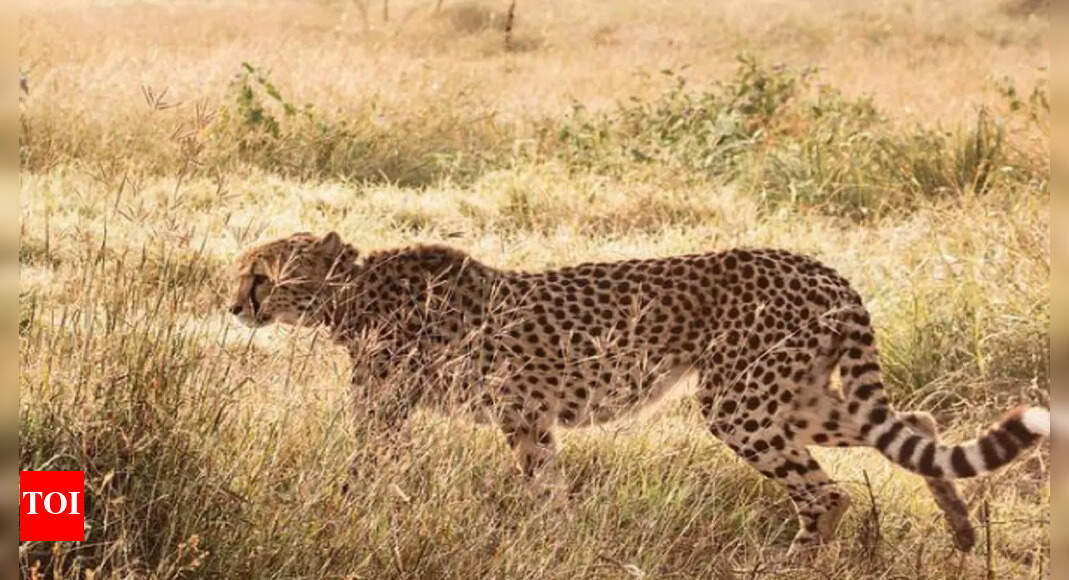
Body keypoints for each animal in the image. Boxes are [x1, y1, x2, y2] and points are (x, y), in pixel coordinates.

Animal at [227, 231, 1049, 556]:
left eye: (264, 274)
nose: (235, 304)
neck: (350, 293)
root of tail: (817, 266)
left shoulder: (392, 412)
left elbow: (361, 472)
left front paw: (333, 515)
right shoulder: (526, 418)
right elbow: (548, 490)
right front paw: (561, 542)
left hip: (740, 403)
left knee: (828, 492)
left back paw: (789, 562)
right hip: (793, 398)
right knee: (913, 419)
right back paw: (960, 530)